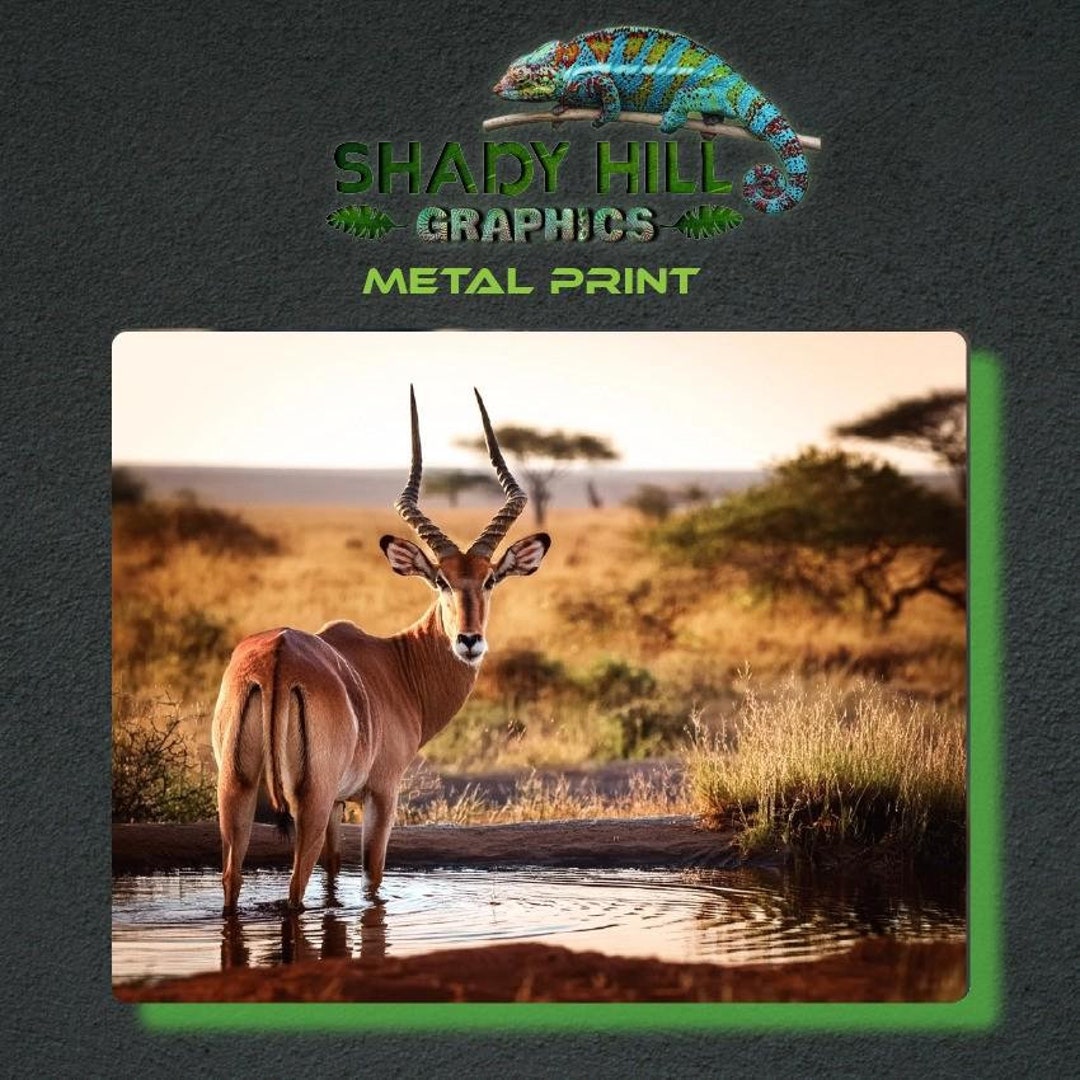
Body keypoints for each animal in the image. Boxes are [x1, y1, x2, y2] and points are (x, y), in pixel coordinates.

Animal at [210, 388, 550, 914]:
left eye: (491, 578)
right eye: (440, 580)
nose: (469, 640)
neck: (398, 668)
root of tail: (276, 659)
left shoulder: (336, 804)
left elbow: (334, 872)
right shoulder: (381, 792)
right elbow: (371, 876)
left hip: (237, 791)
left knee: (233, 882)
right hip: (306, 801)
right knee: (293, 893)